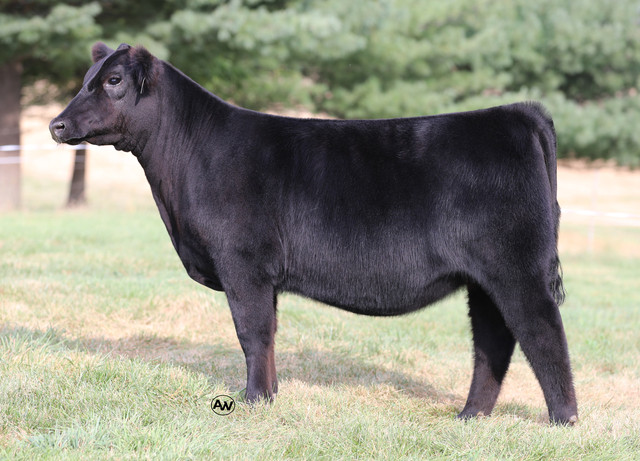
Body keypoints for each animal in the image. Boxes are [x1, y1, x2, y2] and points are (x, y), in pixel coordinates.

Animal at [50, 43, 578, 425]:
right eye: (85, 81)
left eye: (113, 81)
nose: (57, 124)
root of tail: (516, 112)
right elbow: (267, 334)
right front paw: (269, 395)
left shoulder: (243, 262)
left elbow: (252, 332)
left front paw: (253, 401)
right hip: (484, 280)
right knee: (493, 342)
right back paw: (470, 416)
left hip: (517, 267)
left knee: (542, 332)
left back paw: (563, 420)